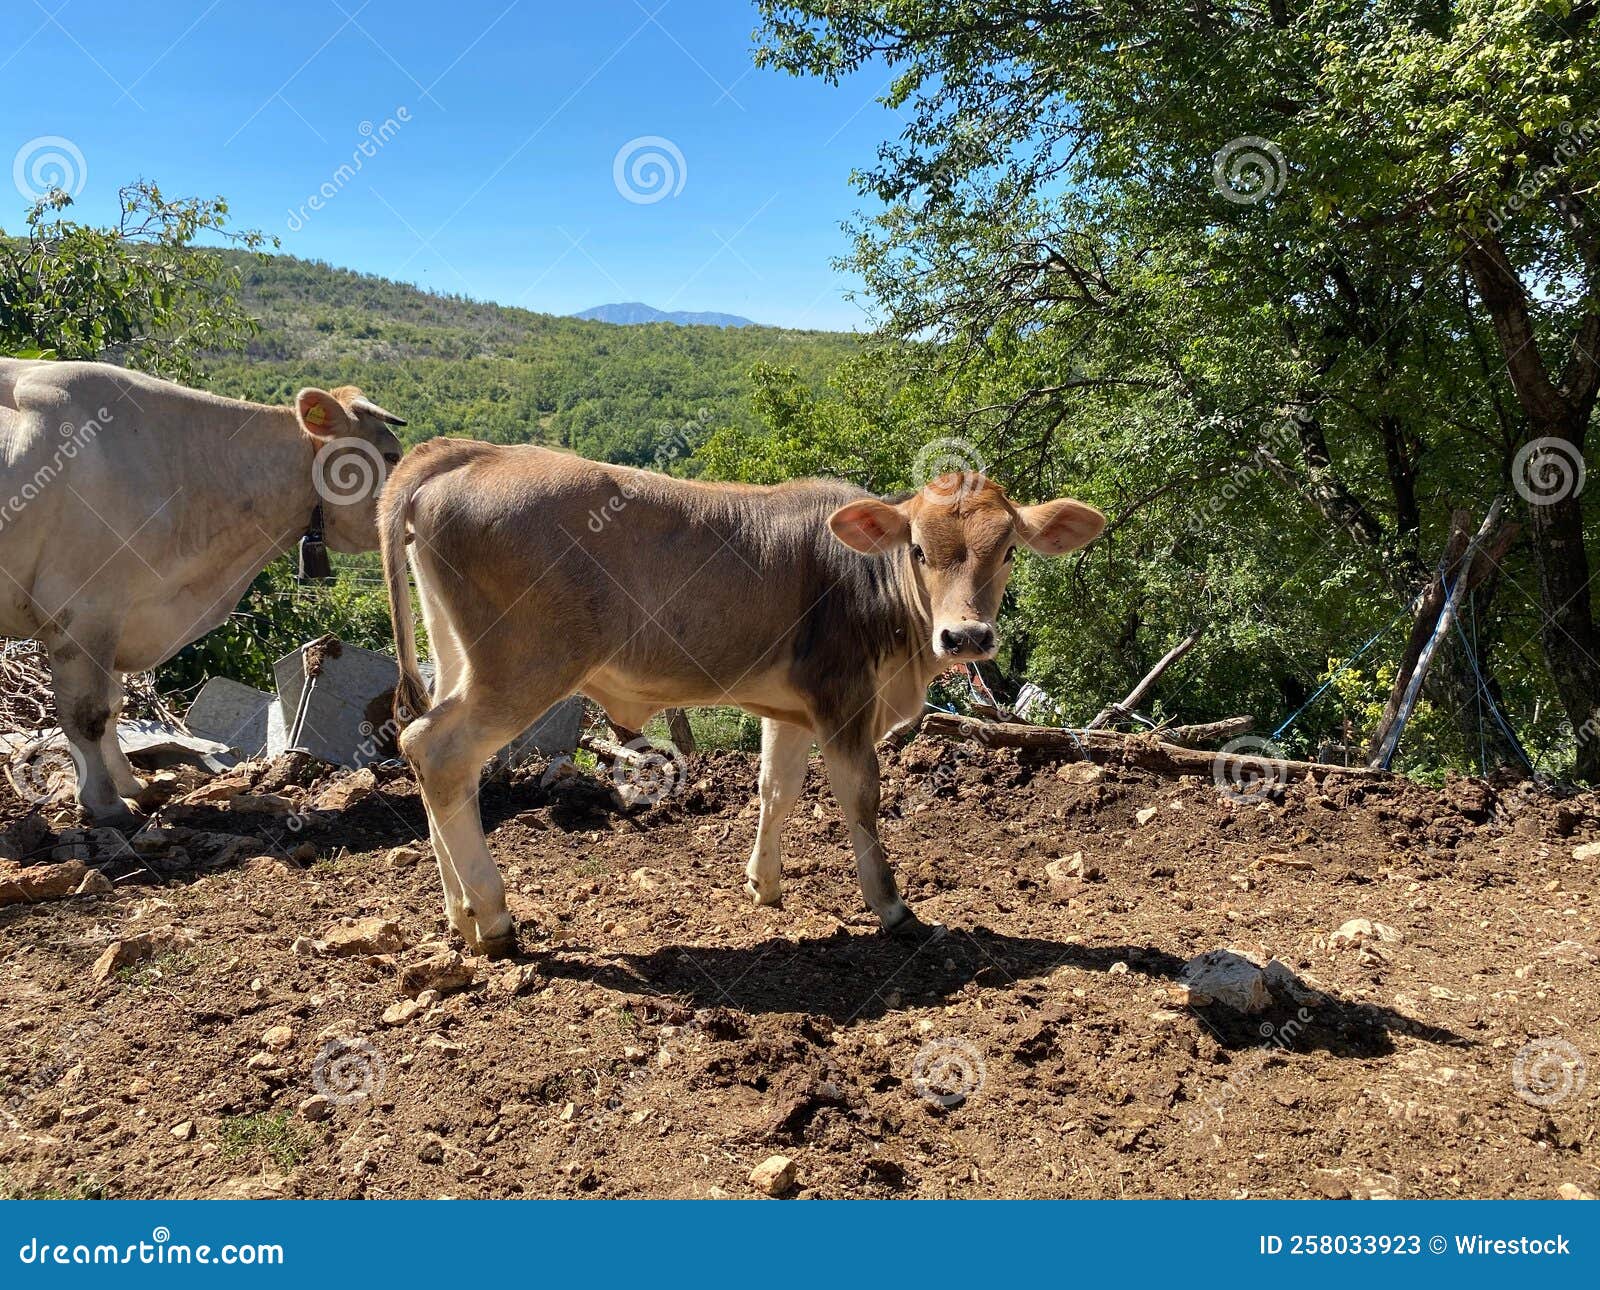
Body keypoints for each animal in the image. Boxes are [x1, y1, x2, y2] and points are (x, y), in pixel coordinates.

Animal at [0, 358, 406, 824]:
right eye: (391, 455)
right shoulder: (83, 607)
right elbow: (88, 713)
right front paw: (104, 802)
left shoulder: (123, 613)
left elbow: (115, 706)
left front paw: (131, 786)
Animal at [379, 439, 1105, 957]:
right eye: (919, 550)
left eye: (1007, 550)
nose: (967, 636)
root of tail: (473, 451)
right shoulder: (843, 698)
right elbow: (860, 798)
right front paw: (893, 908)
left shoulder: (794, 708)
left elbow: (775, 788)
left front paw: (766, 884)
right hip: (524, 665)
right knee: (439, 750)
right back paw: (495, 917)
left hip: (458, 657)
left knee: (437, 761)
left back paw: (461, 916)